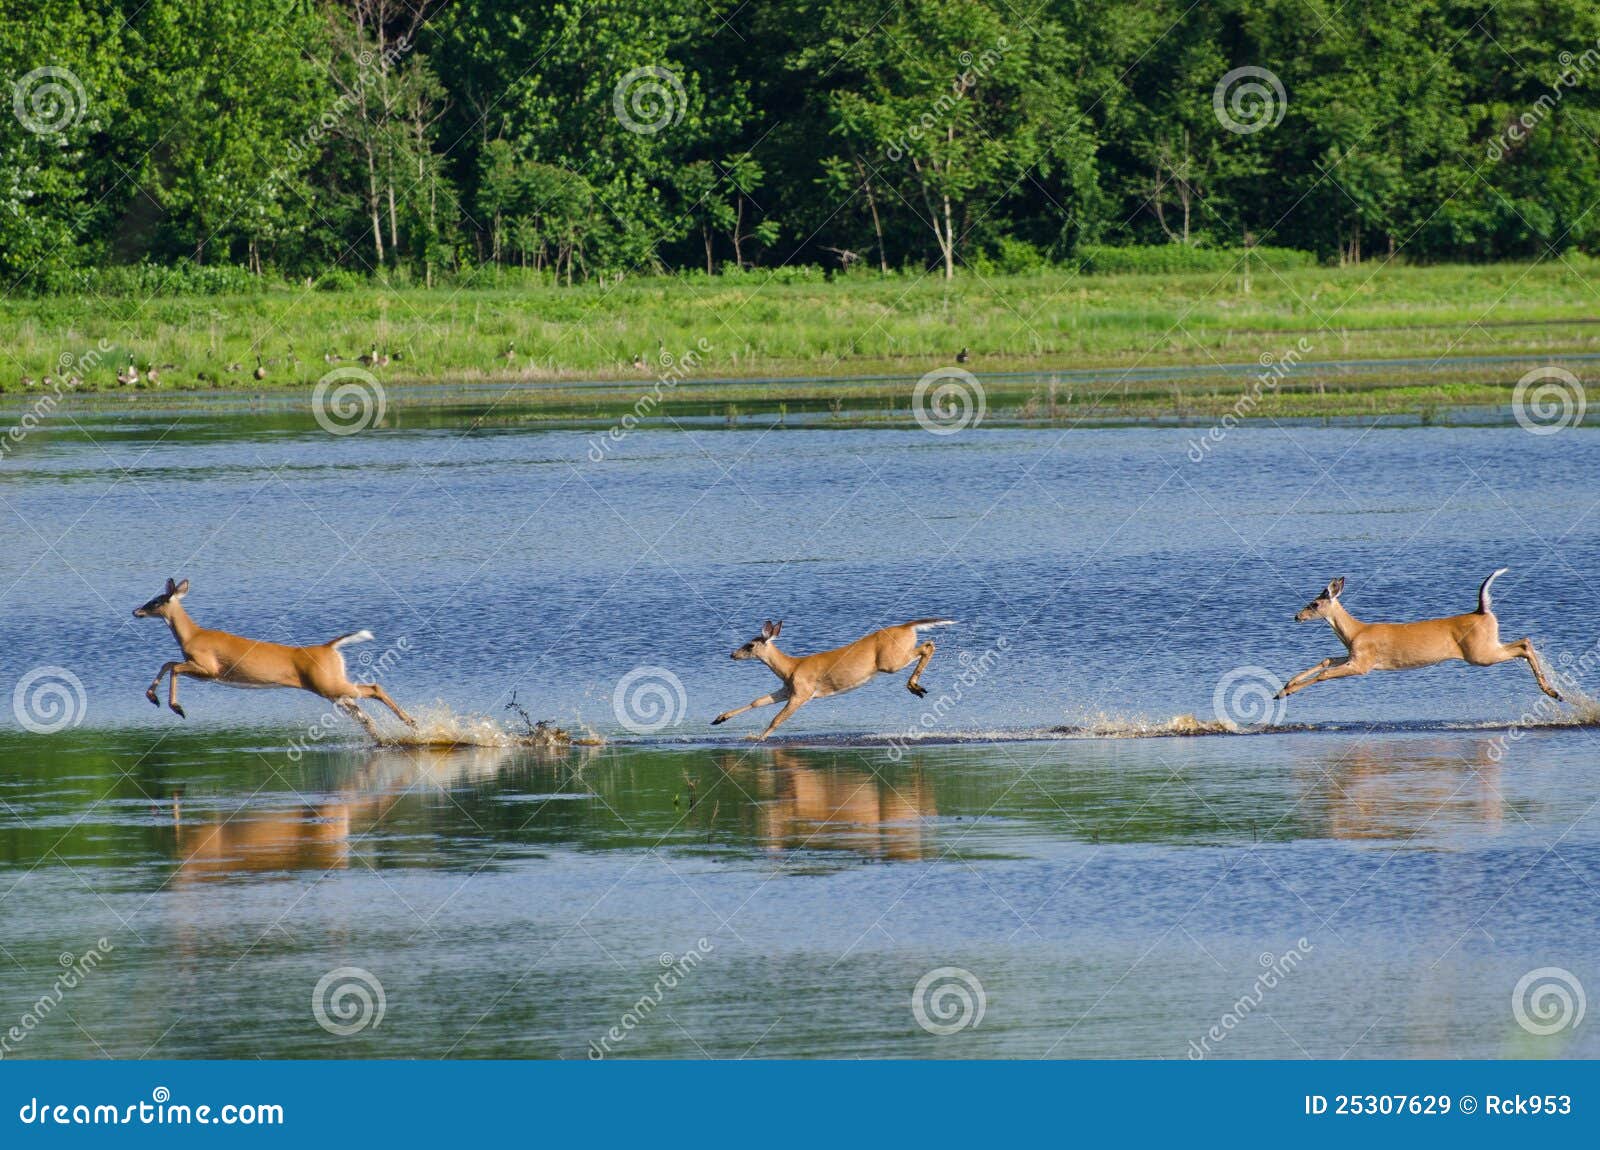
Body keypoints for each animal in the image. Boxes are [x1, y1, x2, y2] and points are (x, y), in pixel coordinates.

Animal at [132, 578, 417, 739]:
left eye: (156, 601)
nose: (136, 611)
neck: (192, 635)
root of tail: (328, 647)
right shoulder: (202, 671)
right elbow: (168, 663)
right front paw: (153, 698)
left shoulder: (209, 669)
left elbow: (173, 666)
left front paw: (176, 707)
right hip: (332, 690)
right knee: (364, 714)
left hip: (329, 684)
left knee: (374, 688)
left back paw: (411, 724)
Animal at [711, 618, 955, 740]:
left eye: (750, 645)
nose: (732, 654)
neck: (791, 668)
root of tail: (907, 626)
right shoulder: (788, 690)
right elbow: (757, 701)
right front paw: (719, 718)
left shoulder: (802, 693)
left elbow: (777, 719)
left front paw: (758, 739)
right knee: (929, 644)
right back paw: (916, 687)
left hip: (891, 661)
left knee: (928, 645)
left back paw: (914, 686)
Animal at [1275, 569, 1564, 702]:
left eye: (1314, 603)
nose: (1297, 616)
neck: (1356, 631)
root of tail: (1482, 610)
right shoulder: (1352, 656)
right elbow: (1325, 660)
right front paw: (1284, 687)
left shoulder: (1362, 664)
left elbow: (1324, 674)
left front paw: (1286, 692)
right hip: (1487, 647)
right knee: (1525, 642)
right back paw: (1555, 692)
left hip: (1480, 654)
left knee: (1524, 644)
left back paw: (1553, 692)